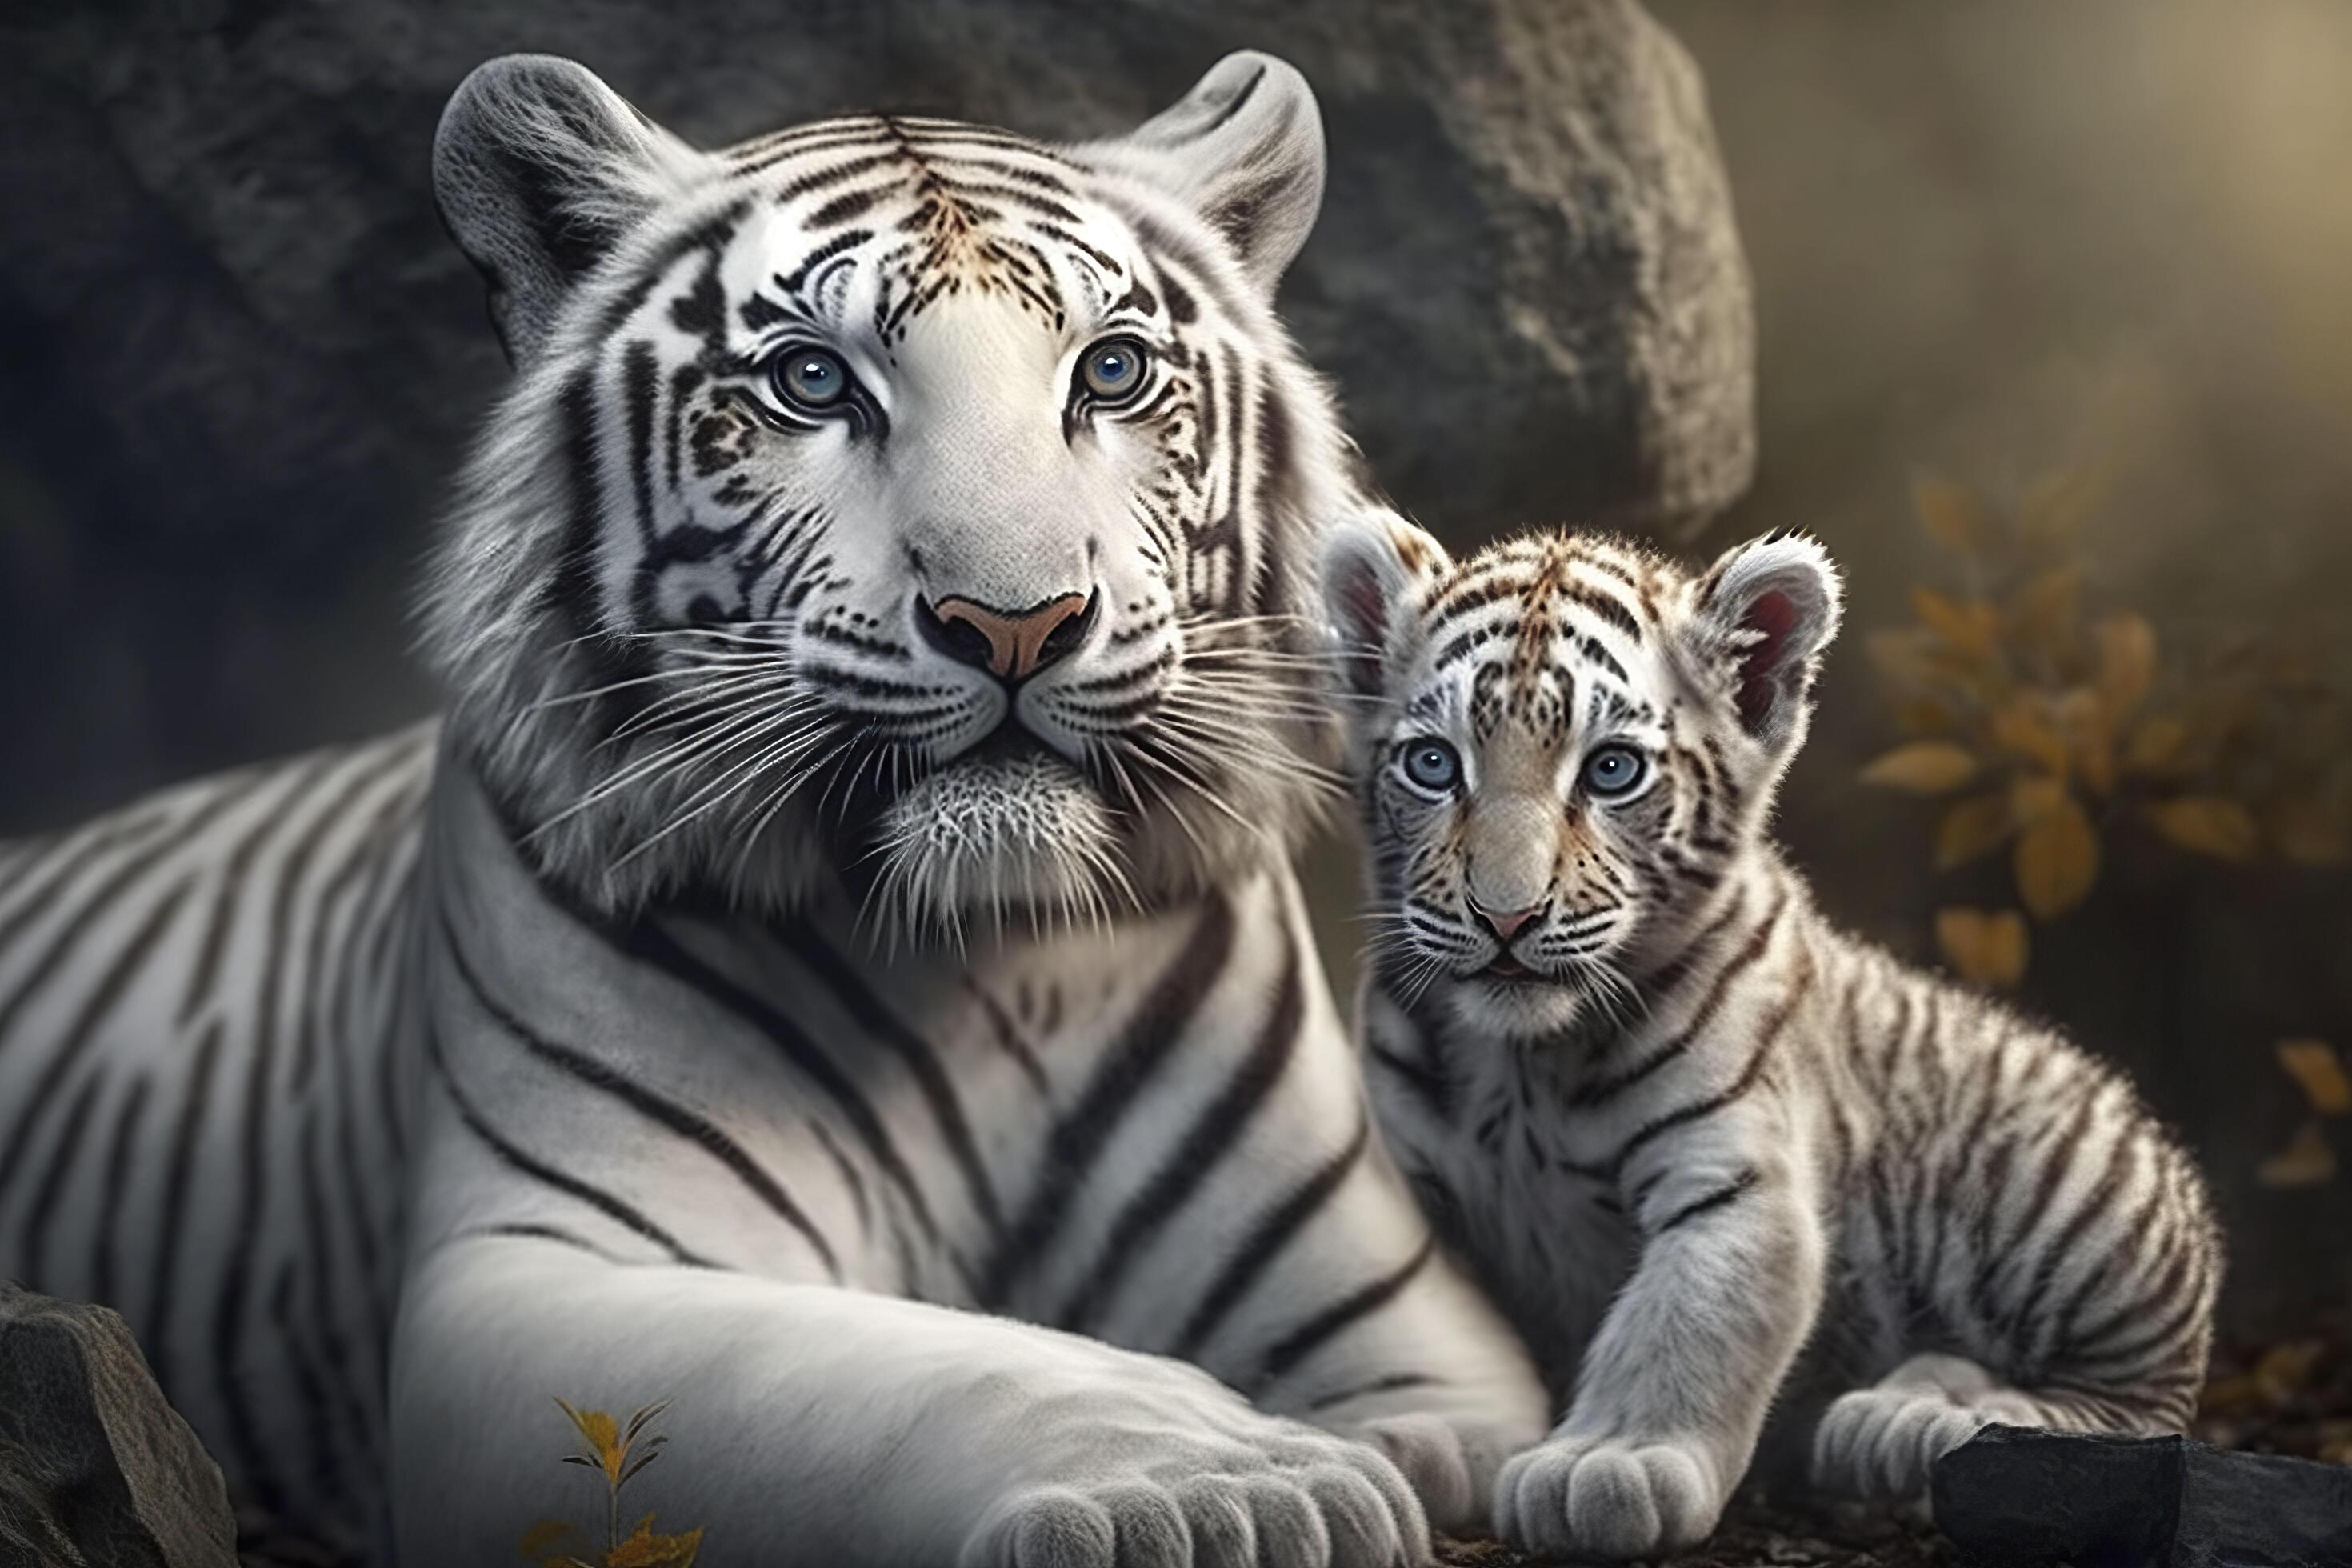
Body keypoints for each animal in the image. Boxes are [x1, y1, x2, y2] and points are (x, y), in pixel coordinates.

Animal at [0, 52, 1552, 1567]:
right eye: (814, 381)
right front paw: (1217, 1480)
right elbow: (951, 1370)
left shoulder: (1399, 1313)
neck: (981, 964)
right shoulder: (550, 1265)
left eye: (1109, 372)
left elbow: (1465, 1424)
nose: (1016, 622)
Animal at [1316, 513, 2223, 1560]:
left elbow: (1683, 1324)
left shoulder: (1732, 1181)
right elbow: (1431, 1327)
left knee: (2134, 1414)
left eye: (1611, 769)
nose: (1505, 917)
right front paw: (1410, 1437)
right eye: (1433, 763)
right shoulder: (1416, 1192)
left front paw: (1611, 1465)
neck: (1520, 1064)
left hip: (2054, 1202)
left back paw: (1921, 1422)